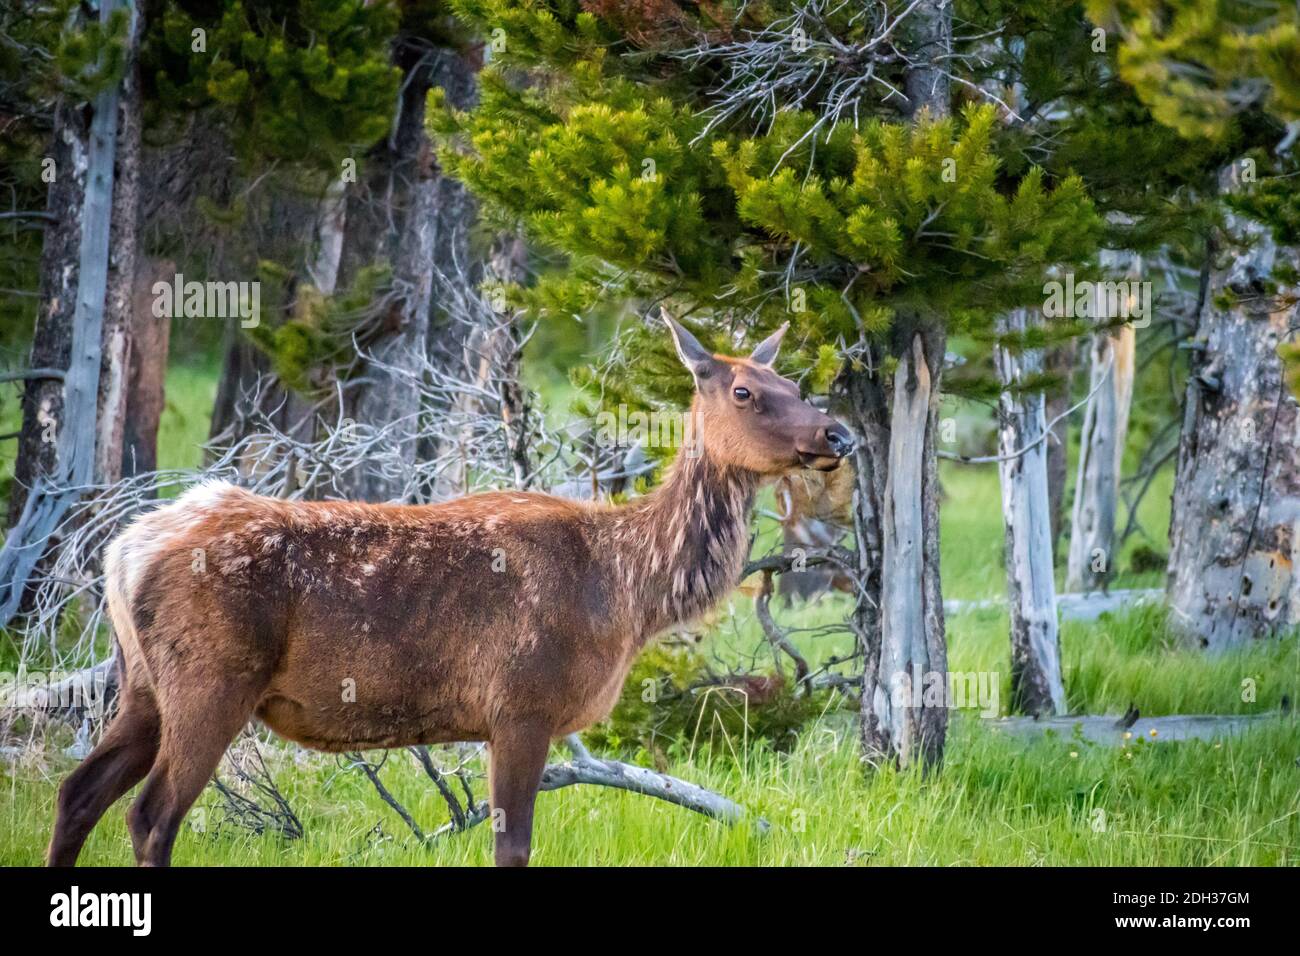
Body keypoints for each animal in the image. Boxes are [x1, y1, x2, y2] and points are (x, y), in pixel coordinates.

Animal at [47, 313, 853, 867]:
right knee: (151, 815)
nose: (839, 433)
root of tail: (124, 548)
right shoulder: (522, 706)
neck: (626, 593)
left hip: (142, 683)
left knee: (78, 791)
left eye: (795, 385)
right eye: (746, 390)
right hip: (211, 680)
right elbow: (513, 848)